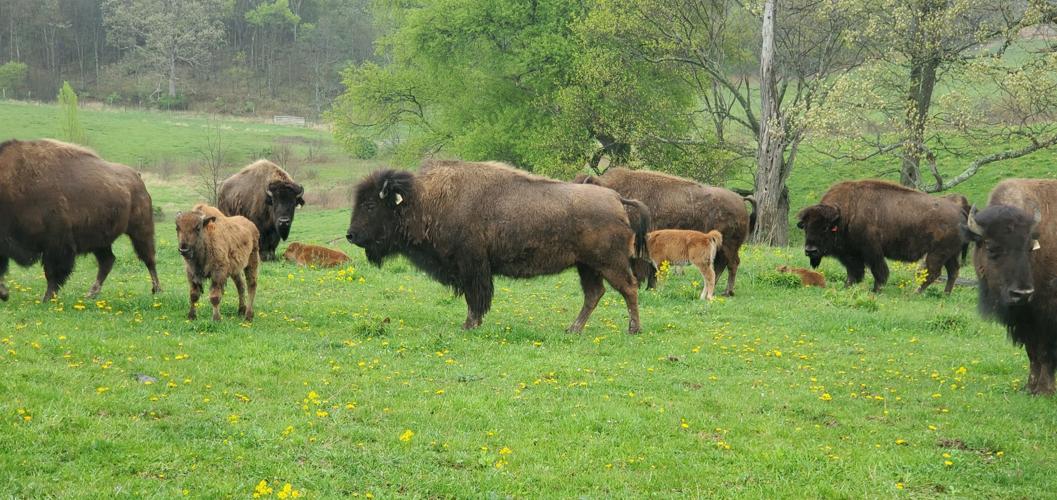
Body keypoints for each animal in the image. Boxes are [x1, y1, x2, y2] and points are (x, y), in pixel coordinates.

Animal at [0, 139, 161, 302]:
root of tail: (137, 177)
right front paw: (4, 293)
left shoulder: (56, 244)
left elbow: (53, 273)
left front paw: (46, 299)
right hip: (100, 240)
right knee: (108, 261)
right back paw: (91, 294)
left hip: (140, 229)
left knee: (149, 259)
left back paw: (157, 290)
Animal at [346, 160, 651, 333]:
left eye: (370, 204)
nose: (350, 235)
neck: (424, 201)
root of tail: (617, 198)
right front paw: (472, 323)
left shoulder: (472, 266)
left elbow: (475, 297)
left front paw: (469, 325)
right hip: (586, 266)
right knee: (594, 294)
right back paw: (572, 329)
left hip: (608, 264)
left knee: (628, 288)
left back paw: (633, 329)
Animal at [575, 168, 754, 297]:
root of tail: (740, 200)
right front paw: (649, 288)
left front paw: (645, 287)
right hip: (721, 248)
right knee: (720, 267)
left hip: (730, 247)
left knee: (731, 264)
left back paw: (727, 292)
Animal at [796, 180, 965, 294]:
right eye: (805, 227)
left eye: (825, 227)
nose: (810, 250)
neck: (845, 214)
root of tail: (959, 211)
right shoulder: (850, 254)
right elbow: (854, 272)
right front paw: (847, 286)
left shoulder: (872, 251)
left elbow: (878, 271)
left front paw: (876, 290)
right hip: (950, 254)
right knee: (953, 271)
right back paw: (945, 294)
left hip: (937, 253)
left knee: (933, 272)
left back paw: (916, 293)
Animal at [962, 179, 1057, 395]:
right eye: (991, 247)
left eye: (1029, 248)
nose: (1022, 293)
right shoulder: (1025, 318)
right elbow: (1033, 352)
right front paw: (1029, 388)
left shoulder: (1047, 314)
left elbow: (1045, 351)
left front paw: (1044, 390)